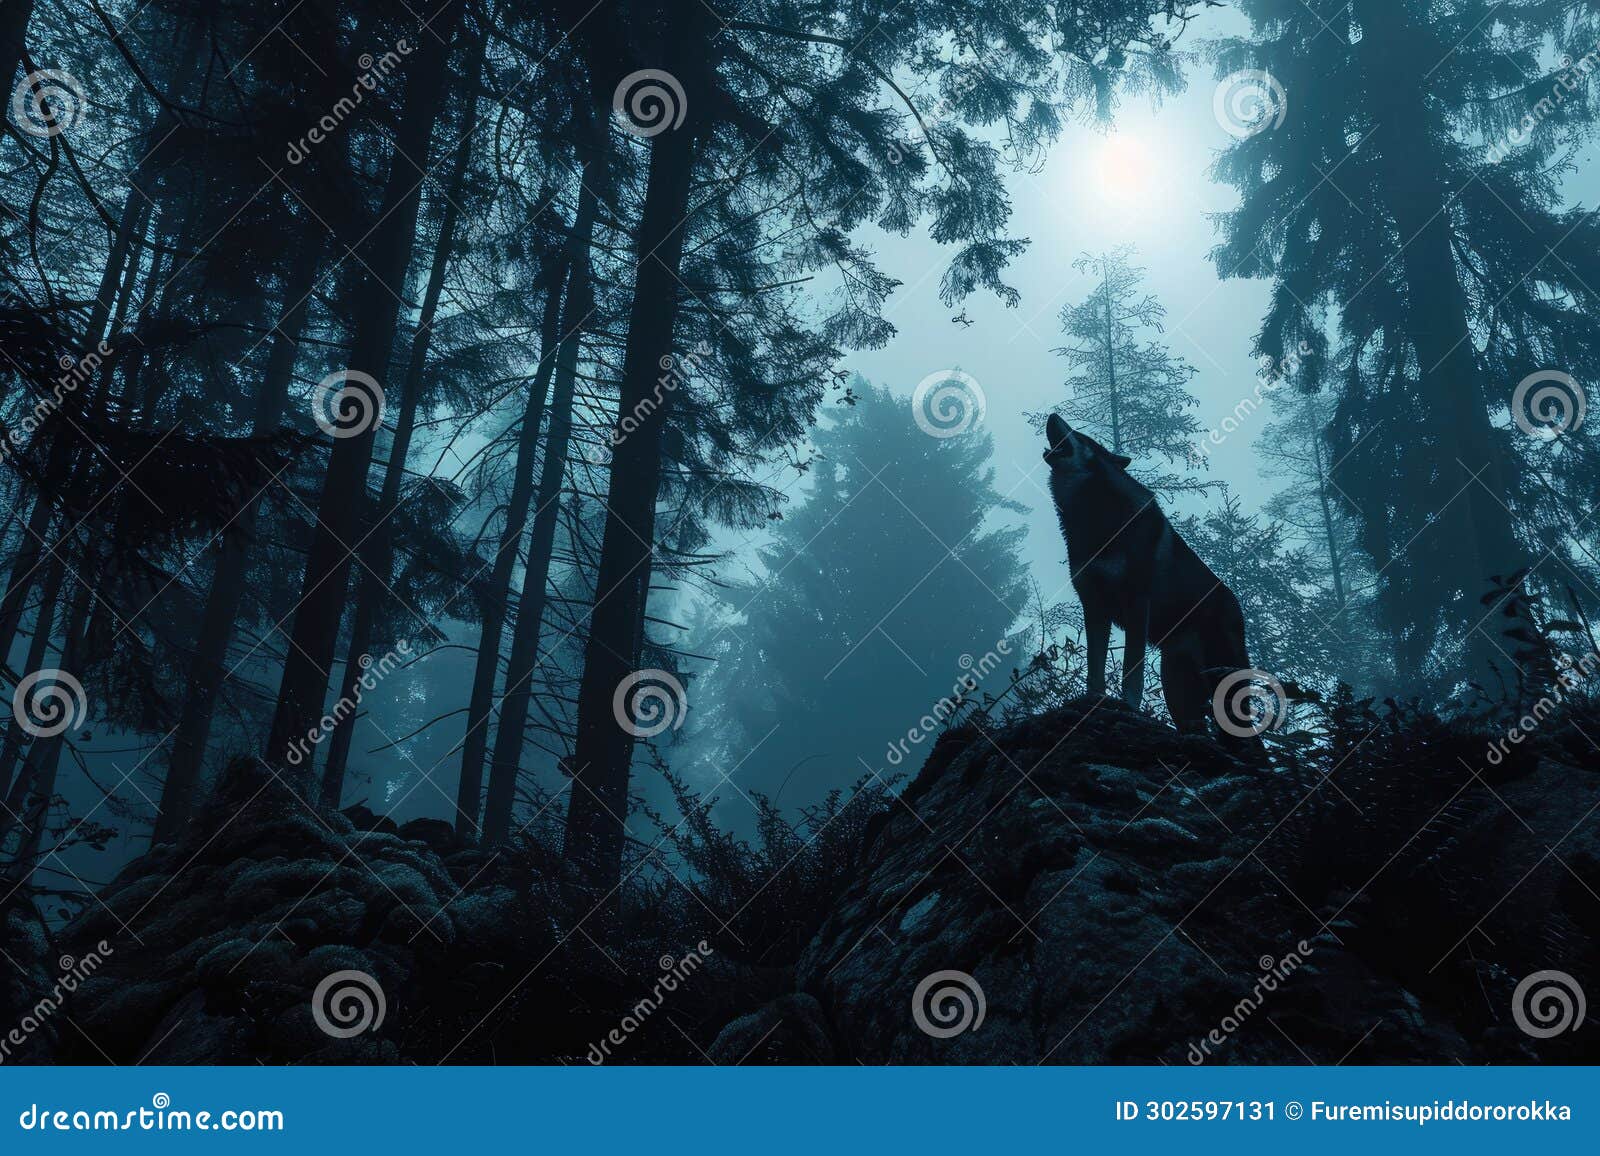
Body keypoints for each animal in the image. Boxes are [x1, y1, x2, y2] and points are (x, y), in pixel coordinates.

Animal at [1042, 413, 1253, 733]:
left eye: (1080, 435)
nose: (1053, 415)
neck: (1094, 517)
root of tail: (1238, 610)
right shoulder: (1094, 608)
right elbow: (1095, 666)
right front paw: (1093, 701)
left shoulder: (1137, 604)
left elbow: (1132, 671)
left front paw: (1128, 709)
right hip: (1179, 692)